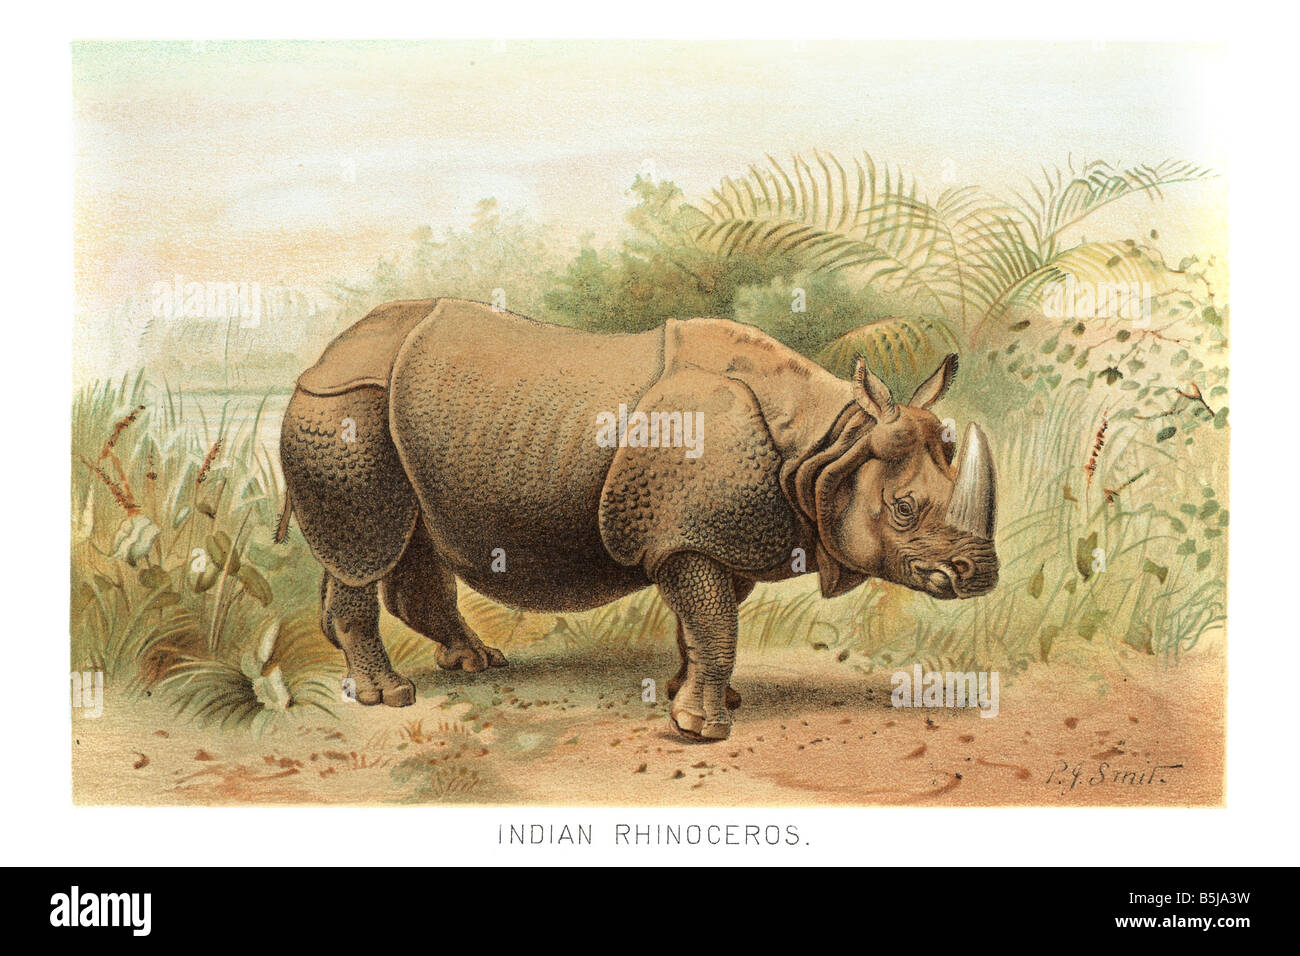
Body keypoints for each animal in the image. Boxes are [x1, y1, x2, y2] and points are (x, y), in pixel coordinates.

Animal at [277, 298, 998, 741]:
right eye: (903, 510)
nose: (981, 574)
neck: (830, 447)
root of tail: (319, 358)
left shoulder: (701, 533)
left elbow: (700, 623)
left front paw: (700, 696)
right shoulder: (688, 535)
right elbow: (715, 624)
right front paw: (703, 729)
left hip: (396, 423)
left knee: (403, 540)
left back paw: (474, 663)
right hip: (344, 409)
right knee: (367, 548)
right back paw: (390, 696)